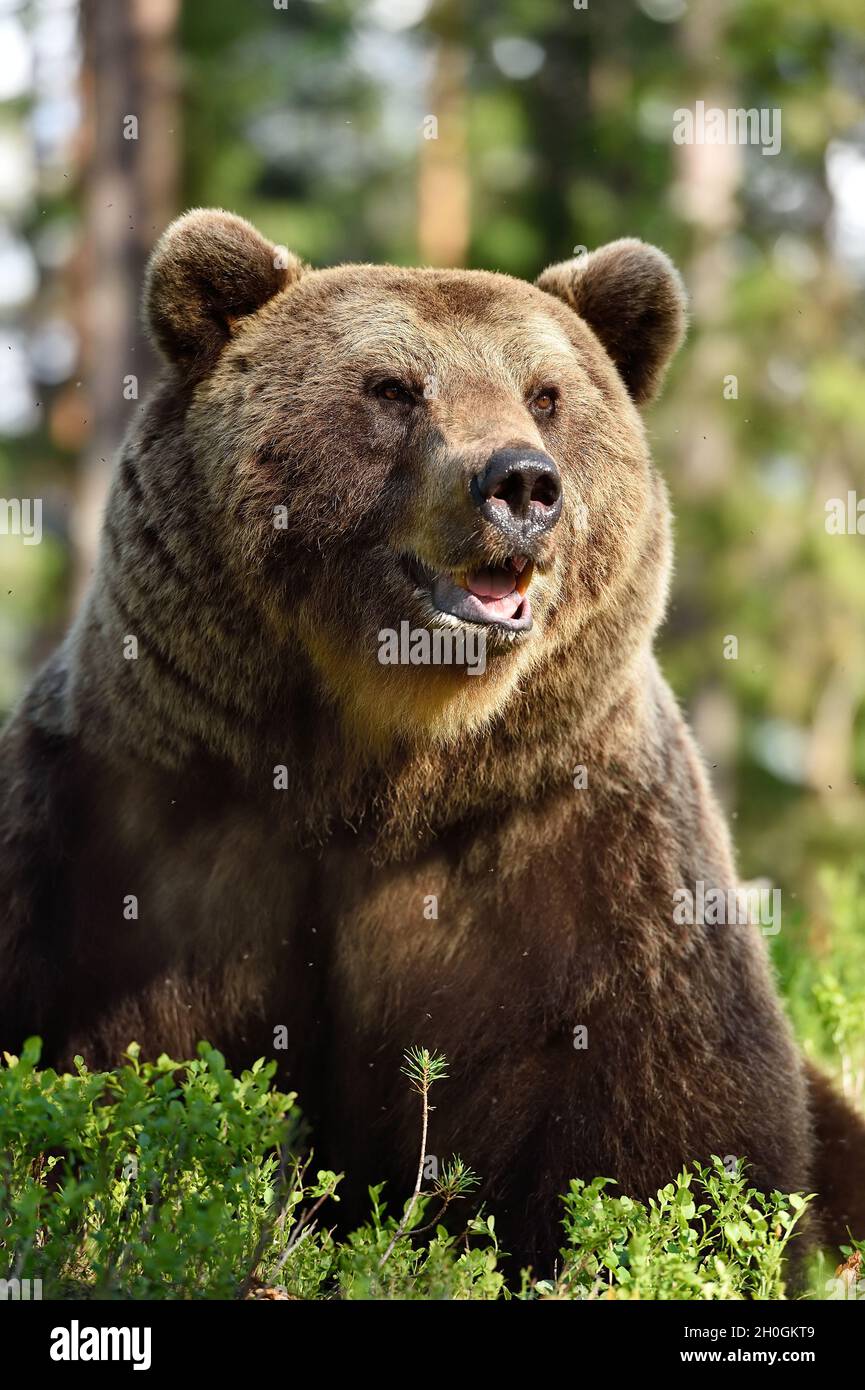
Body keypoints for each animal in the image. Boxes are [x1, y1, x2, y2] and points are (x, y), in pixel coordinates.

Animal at [0, 208, 863, 1272]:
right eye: (392, 388)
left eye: (546, 394)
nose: (520, 483)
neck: (380, 767)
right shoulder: (122, 835)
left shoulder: (584, 852)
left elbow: (679, 1131)